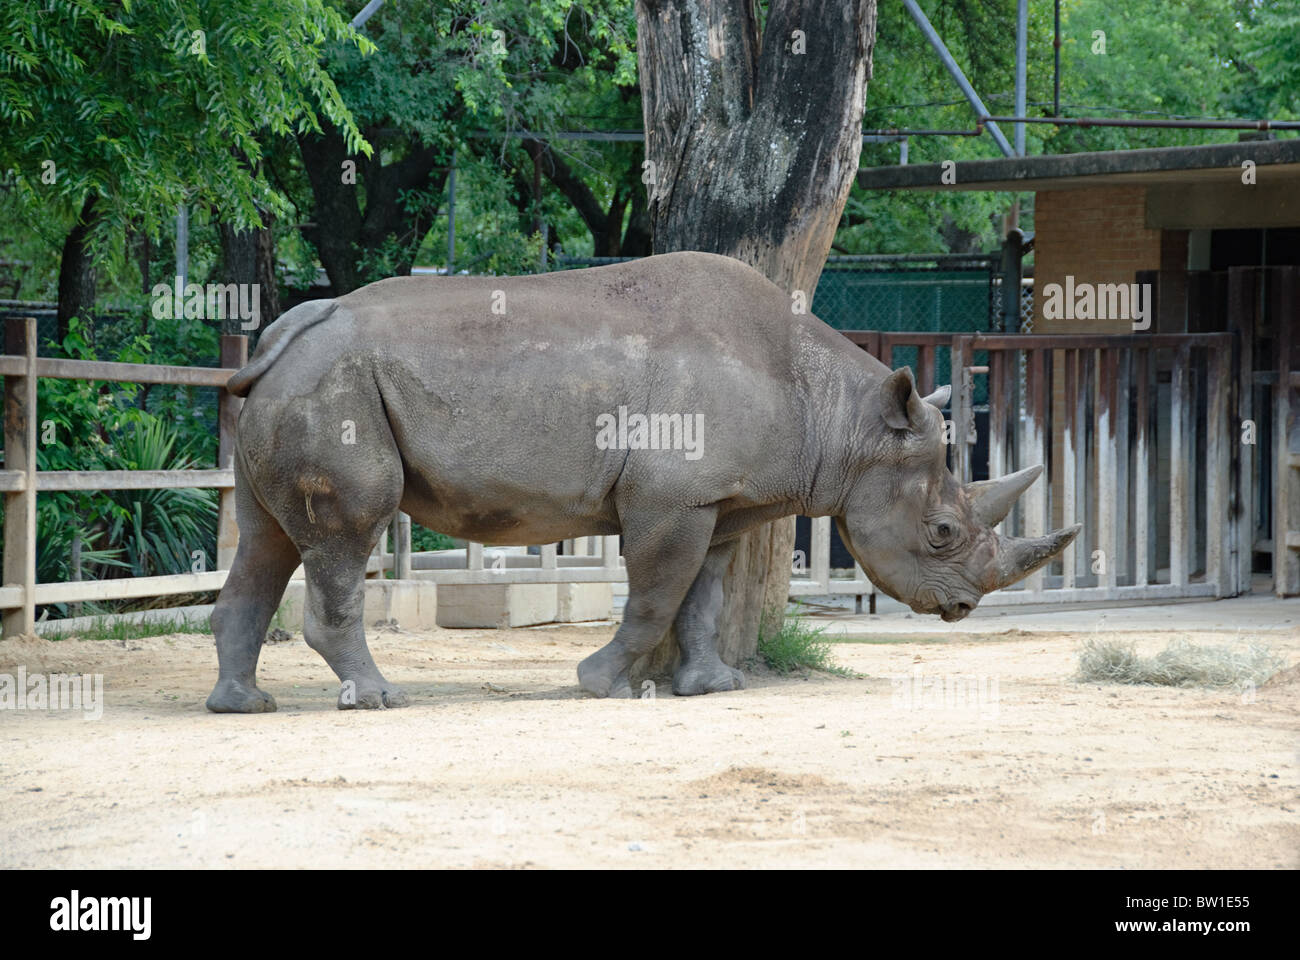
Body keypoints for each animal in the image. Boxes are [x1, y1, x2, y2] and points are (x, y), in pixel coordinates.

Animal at [206, 252, 1078, 713]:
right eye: (942, 532)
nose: (961, 608)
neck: (845, 419)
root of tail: (280, 340)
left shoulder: (720, 502)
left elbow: (704, 596)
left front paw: (712, 686)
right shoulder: (670, 498)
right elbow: (658, 593)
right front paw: (599, 683)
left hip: (298, 390)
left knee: (267, 539)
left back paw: (244, 705)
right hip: (333, 388)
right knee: (348, 531)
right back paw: (381, 700)